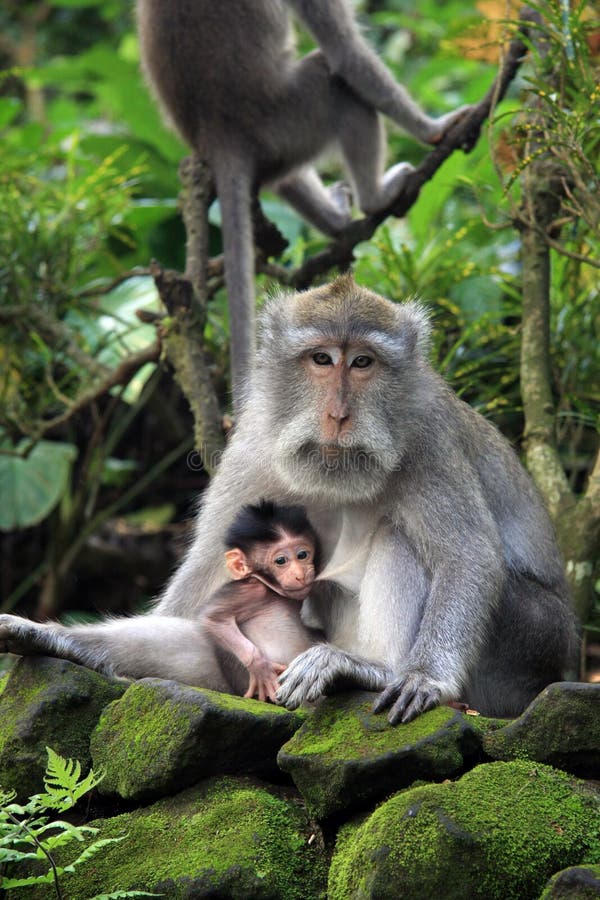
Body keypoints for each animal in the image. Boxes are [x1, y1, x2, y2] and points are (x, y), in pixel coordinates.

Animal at [135, 0, 471, 400]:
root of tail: (219, 134)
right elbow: (345, 53)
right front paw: (434, 128)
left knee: (285, 176)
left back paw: (338, 220)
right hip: (289, 118)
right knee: (333, 79)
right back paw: (375, 199)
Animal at [203, 499, 322, 702]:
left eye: (302, 555)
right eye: (281, 560)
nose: (300, 575)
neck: (272, 590)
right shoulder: (251, 591)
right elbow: (211, 618)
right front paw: (261, 668)